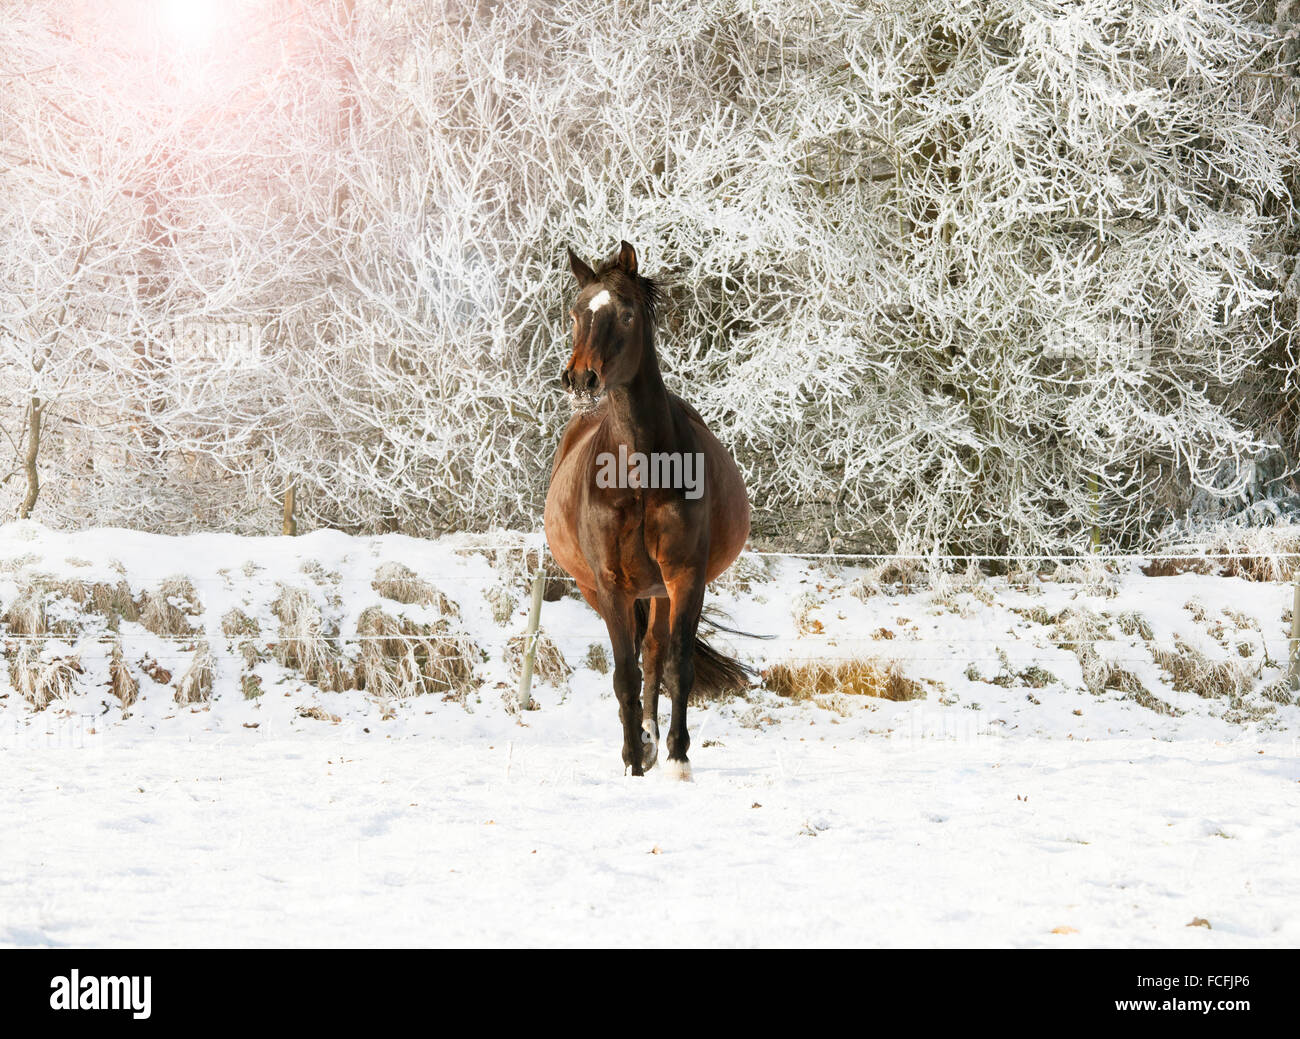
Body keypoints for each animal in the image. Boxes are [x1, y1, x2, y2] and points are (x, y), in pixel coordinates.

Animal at [543, 241, 751, 780]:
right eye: (575, 312)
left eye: (627, 314)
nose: (580, 377)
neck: (639, 470)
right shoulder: (611, 584)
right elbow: (623, 676)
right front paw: (633, 763)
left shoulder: (684, 576)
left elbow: (676, 666)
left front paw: (677, 758)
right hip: (596, 590)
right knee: (639, 664)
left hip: (659, 592)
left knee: (656, 656)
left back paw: (657, 743)